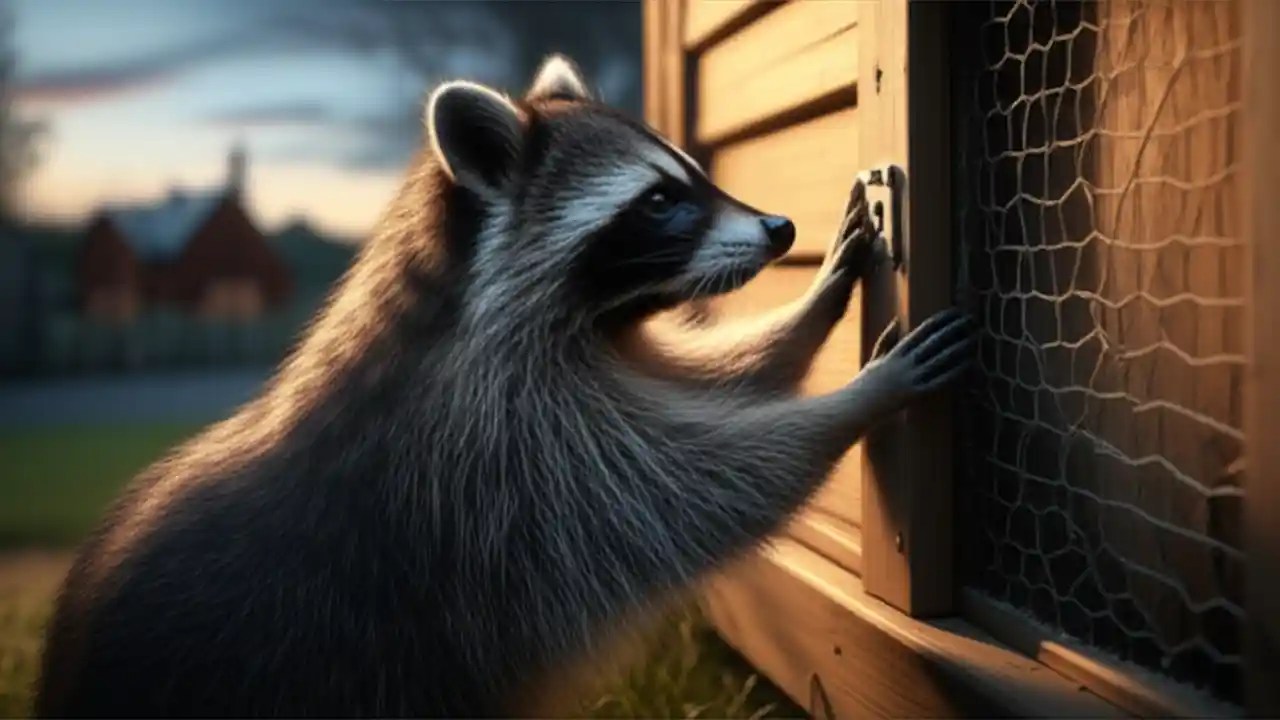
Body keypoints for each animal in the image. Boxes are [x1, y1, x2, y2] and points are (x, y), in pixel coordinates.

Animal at [35, 55, 975, 718]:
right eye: (660, 200)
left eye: (694, 176)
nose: (780, 230)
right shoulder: (497, 462)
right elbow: (696, 490)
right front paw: (859, 398)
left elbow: (715, 379)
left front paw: (817, 303)